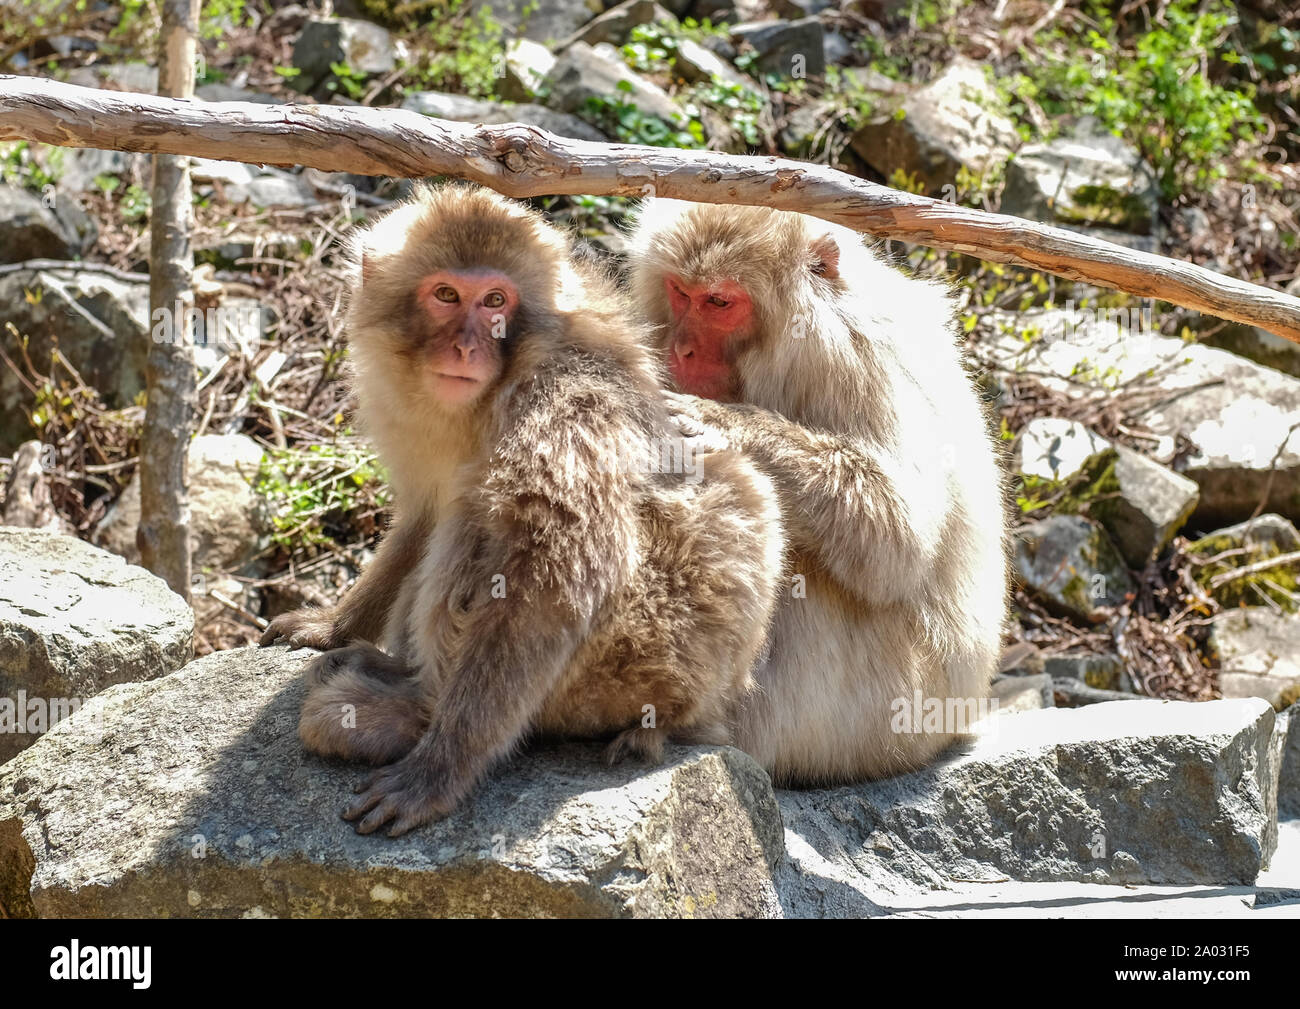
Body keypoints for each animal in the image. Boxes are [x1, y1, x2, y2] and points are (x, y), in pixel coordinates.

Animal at [260, 186, 785, 836]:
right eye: (446, 295)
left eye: (495, 301)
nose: (467, 346)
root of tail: (701, 704)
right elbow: (422, 516)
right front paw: (333, 624)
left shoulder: (565, 394)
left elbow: (561, 561)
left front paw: (438, 771)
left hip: (631, 662)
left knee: (482, 523)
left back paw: (410, 712)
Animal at [625, 199, 1008, 787]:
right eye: (680, 292)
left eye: (720, 302)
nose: (680, 349)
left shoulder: (857, 359)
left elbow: (896, 537)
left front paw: (726, 425)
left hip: (877, 718)